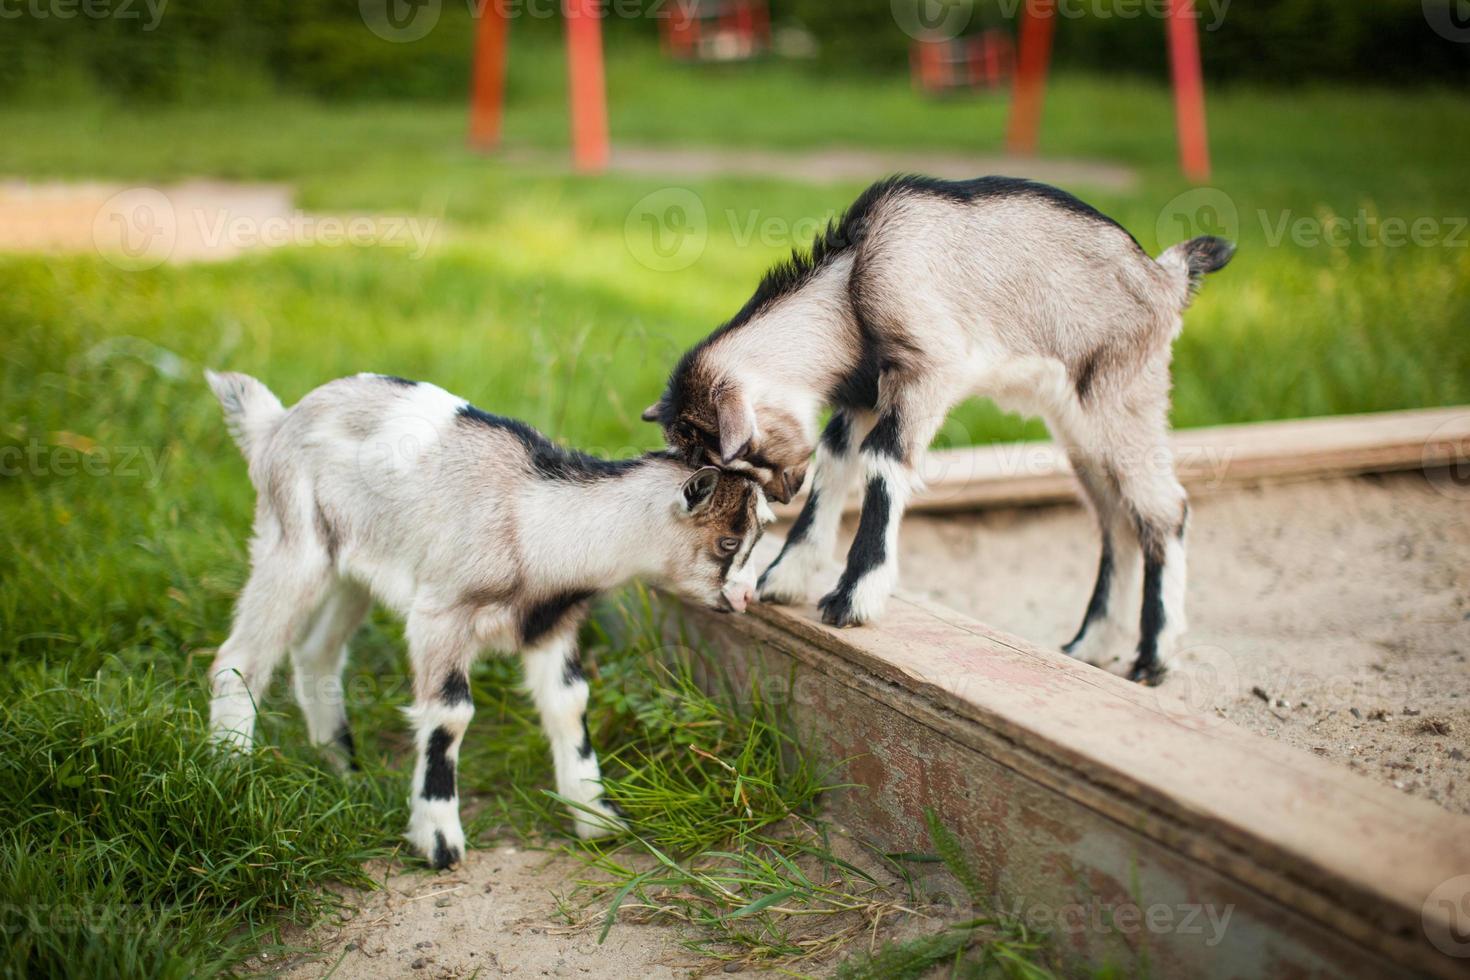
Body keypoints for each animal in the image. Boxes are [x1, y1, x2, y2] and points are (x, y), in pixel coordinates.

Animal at [205, 370, 772, 868]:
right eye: (727, 542)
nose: (746, 598)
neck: (532, 519)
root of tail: (274, 424)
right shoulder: (440, 615)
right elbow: (449, 715)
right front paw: (438, 840)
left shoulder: (551, 624)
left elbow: (570, 705)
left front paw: (597, 818)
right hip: (295, 543)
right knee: (240, 658)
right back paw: (231, 773)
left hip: (352, 570)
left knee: (316, 652)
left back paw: (344, 768)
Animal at [643, 175, 1234, 684]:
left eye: (735, 457)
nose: (785, 493)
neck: (849, 285)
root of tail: (1168, 278)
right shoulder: (865, 397)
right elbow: (837, 460)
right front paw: (786, 578)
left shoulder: (928, 373)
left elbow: (883, 463)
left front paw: (852, 600)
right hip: (1079, 428)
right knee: (1115, 517)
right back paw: (1090, 644)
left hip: (1121, 397)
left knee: (1163, 508)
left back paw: (1153, 658)